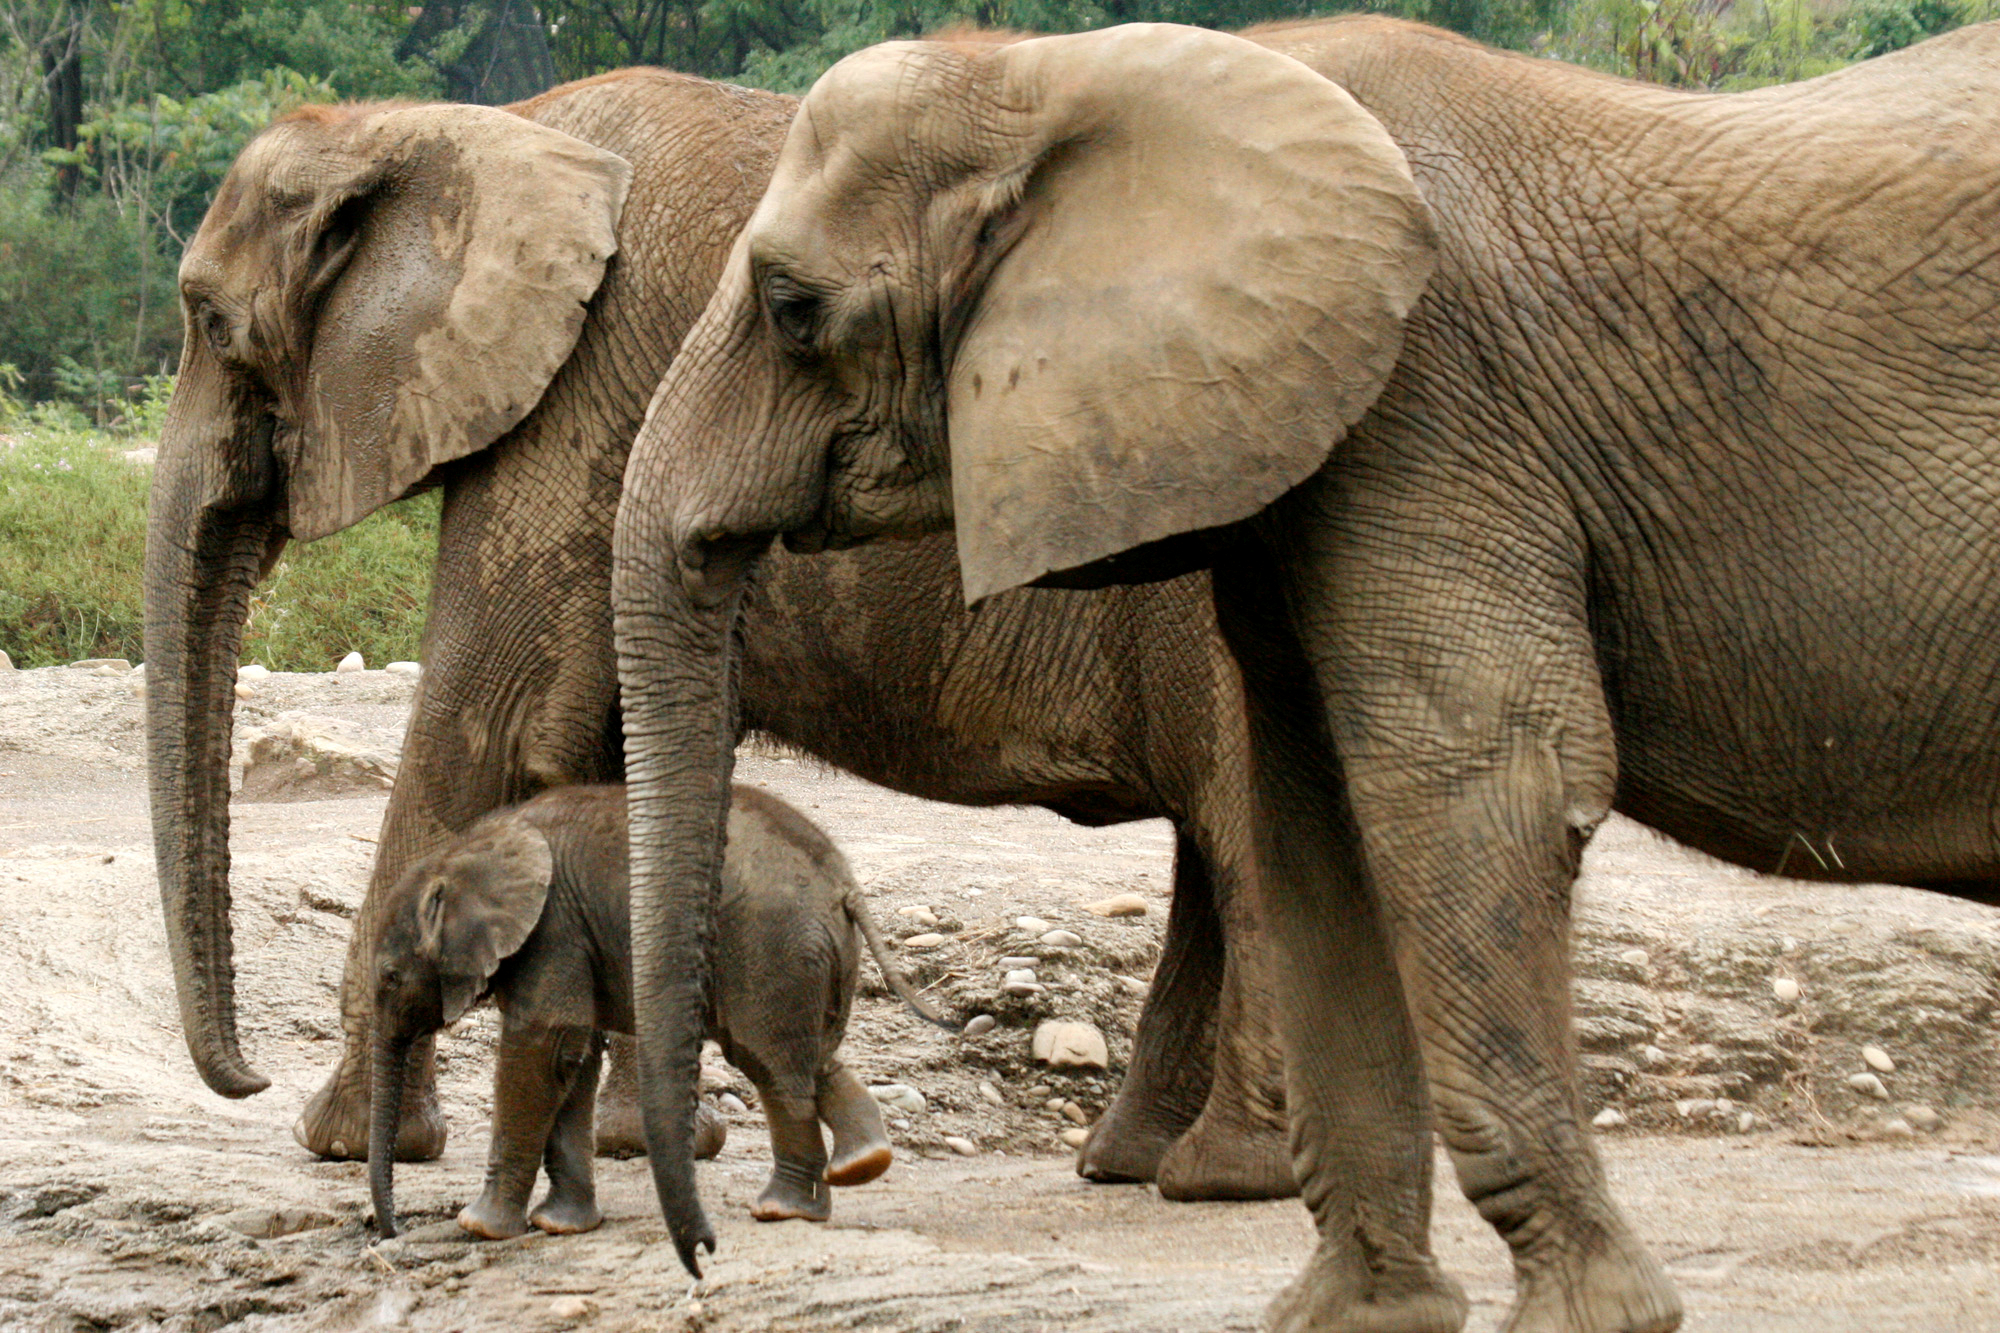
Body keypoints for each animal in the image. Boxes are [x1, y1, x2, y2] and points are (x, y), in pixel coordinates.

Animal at [368, 783, 938, 1240]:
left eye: (390, 977)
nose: (389, 1231)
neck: (465, 850)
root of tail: (843, 884)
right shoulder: (575, 938)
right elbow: (573, 1059)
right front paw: (561, 1226)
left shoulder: (555, 929)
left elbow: (543, 1049)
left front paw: (479, 1226)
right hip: (817, 953)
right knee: (807, 1054)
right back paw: (862, 1162)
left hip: (773, 945)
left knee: (769, 1061)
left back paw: (783, 1209)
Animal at [609, 15, 2000, 1333]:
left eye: (791, 308)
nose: (707, 1249)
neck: (1056, 77)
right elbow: (1313, 829)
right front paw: (1354, 1315)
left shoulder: (1427, 408)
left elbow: (1463, 792)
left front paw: (1590, 1317)